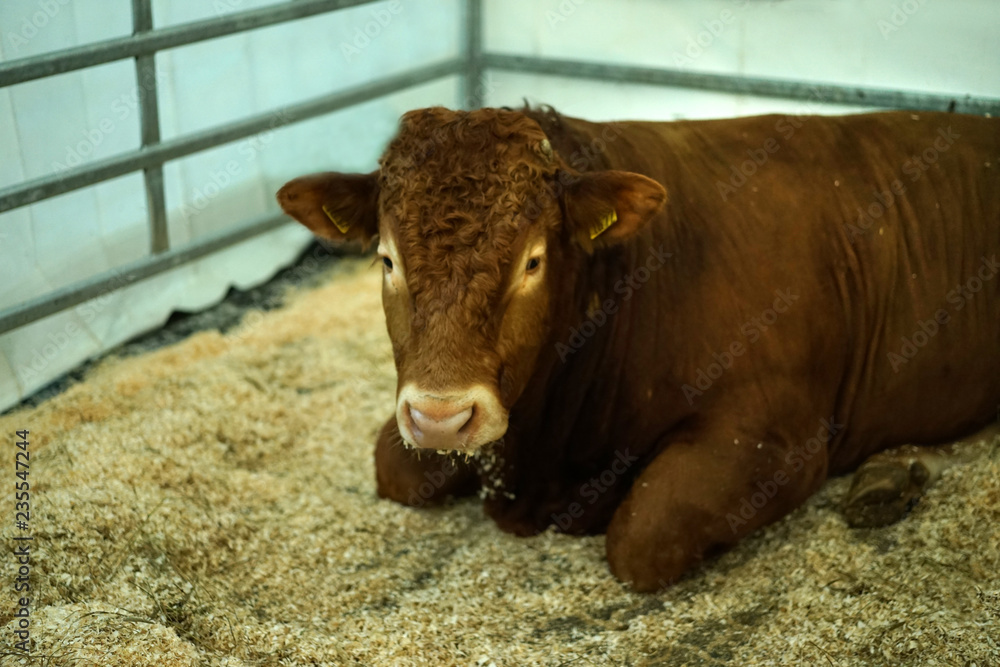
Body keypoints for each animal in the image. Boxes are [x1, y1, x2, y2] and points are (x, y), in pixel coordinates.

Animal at [277, 105, 1000, 591]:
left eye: (533, 260)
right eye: (387, 259)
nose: (441, 417)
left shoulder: (779, 436)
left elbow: (643, 535)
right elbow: (392, 465)